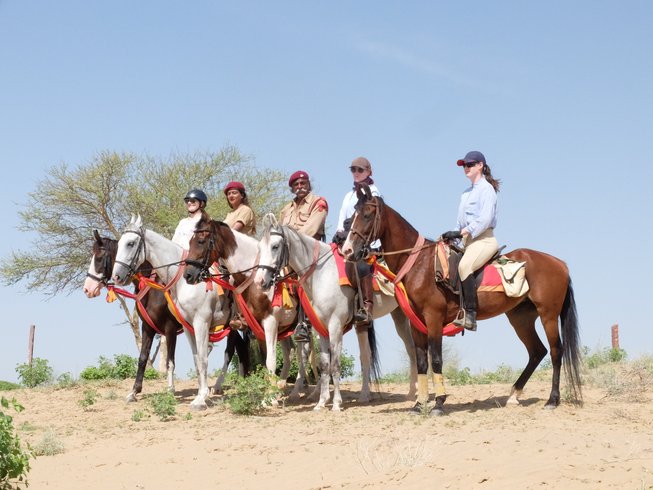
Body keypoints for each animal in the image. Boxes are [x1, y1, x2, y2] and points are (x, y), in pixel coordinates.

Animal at [111, 215, 234, 410]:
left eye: (130, 243)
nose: (117, 276)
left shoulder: (191, 325)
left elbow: (186, 360)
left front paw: (194, 396)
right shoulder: (168, 326)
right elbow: (148, 357)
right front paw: (134, 392)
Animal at [184, 212, 315, 402]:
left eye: (200, 241)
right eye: (190, 242)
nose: (188, 274)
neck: (253, 279)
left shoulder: (270, 322)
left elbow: (270, 359)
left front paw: (270, 398)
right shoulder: (257, 325)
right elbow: (265, 358)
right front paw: (269, 393)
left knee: (304, 352)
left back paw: (299, 390)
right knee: (290, 352)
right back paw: (282, 386)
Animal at [254, 215, 418, 411]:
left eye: (275, 246)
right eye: (259, 247)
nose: (260, 281)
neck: (322, 274)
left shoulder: (335, 325)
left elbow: (335, 364)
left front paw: (337, 403)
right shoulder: (321, 328)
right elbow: (325, 365)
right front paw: (322, 402)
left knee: (413, 349)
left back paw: (414, 392)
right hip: (396, 316)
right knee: (383, 353)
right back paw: (372, 395)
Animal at [341, 185, 583, 416]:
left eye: (367, 214)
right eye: (352, 215)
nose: (348, 250)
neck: (419, 264)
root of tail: (559, 263)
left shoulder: (434, 319)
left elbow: (436, 360)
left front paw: (438, 403)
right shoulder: (416, 322)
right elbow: (422, 362)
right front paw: (419, 405)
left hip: (548, 315)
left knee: (555, 352)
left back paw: (552, 400)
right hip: (520, 318)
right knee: (537, 352)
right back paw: (513, 395)